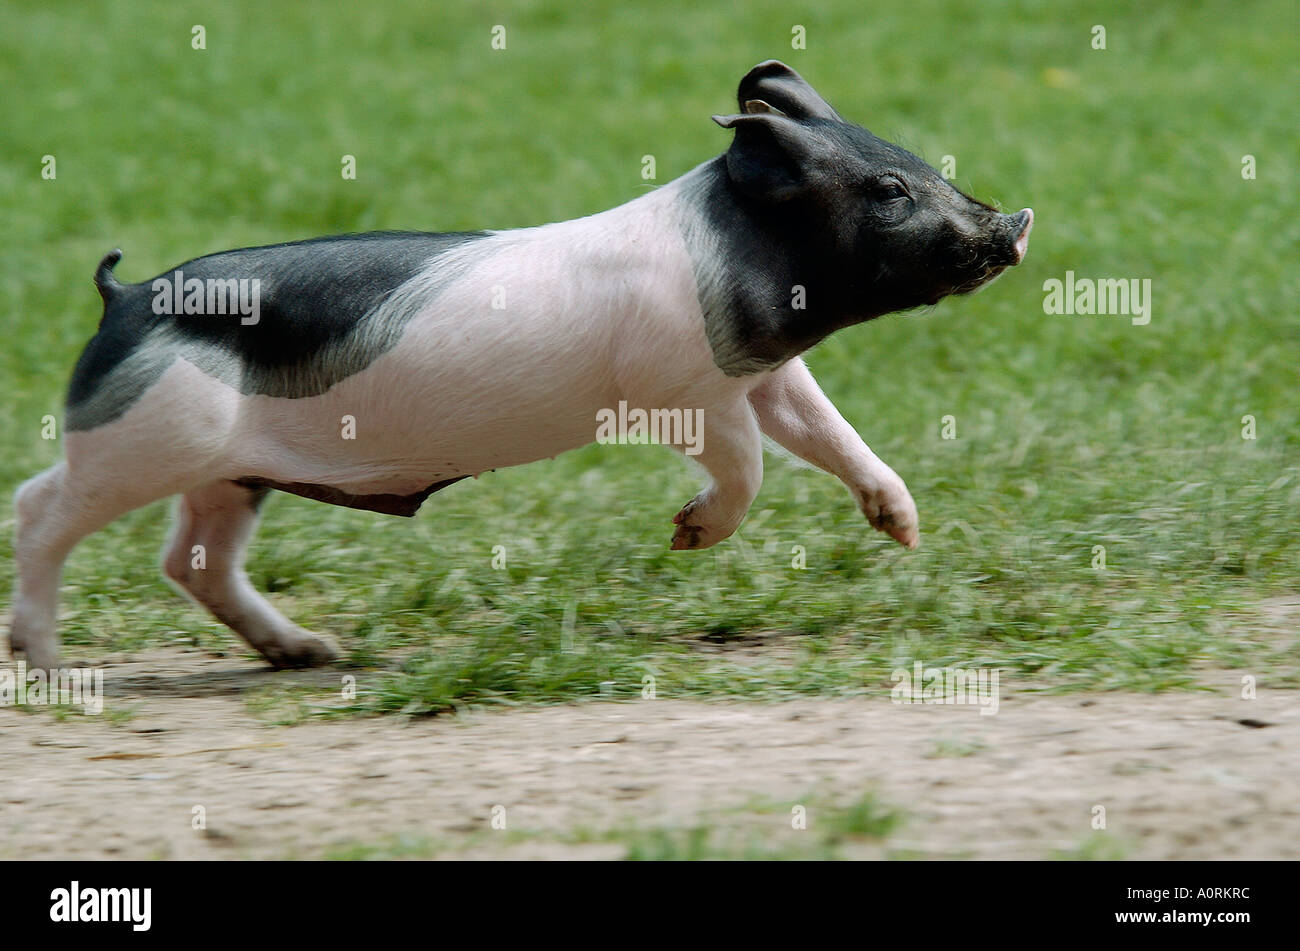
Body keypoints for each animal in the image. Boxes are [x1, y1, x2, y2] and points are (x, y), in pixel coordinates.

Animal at [9, 61, 1032, 671]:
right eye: (888, 190)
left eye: (914, 161)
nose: (1015, 222)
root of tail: (123, 298)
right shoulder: (676, 390)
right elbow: (746, 463)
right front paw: (683, 536)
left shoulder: (765, 372)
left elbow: (829, 430)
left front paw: (903, 528)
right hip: (143, 437)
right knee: (39, 508)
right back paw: (50, 662)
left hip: (229, 470)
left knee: (192, 560)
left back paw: (316, 653)